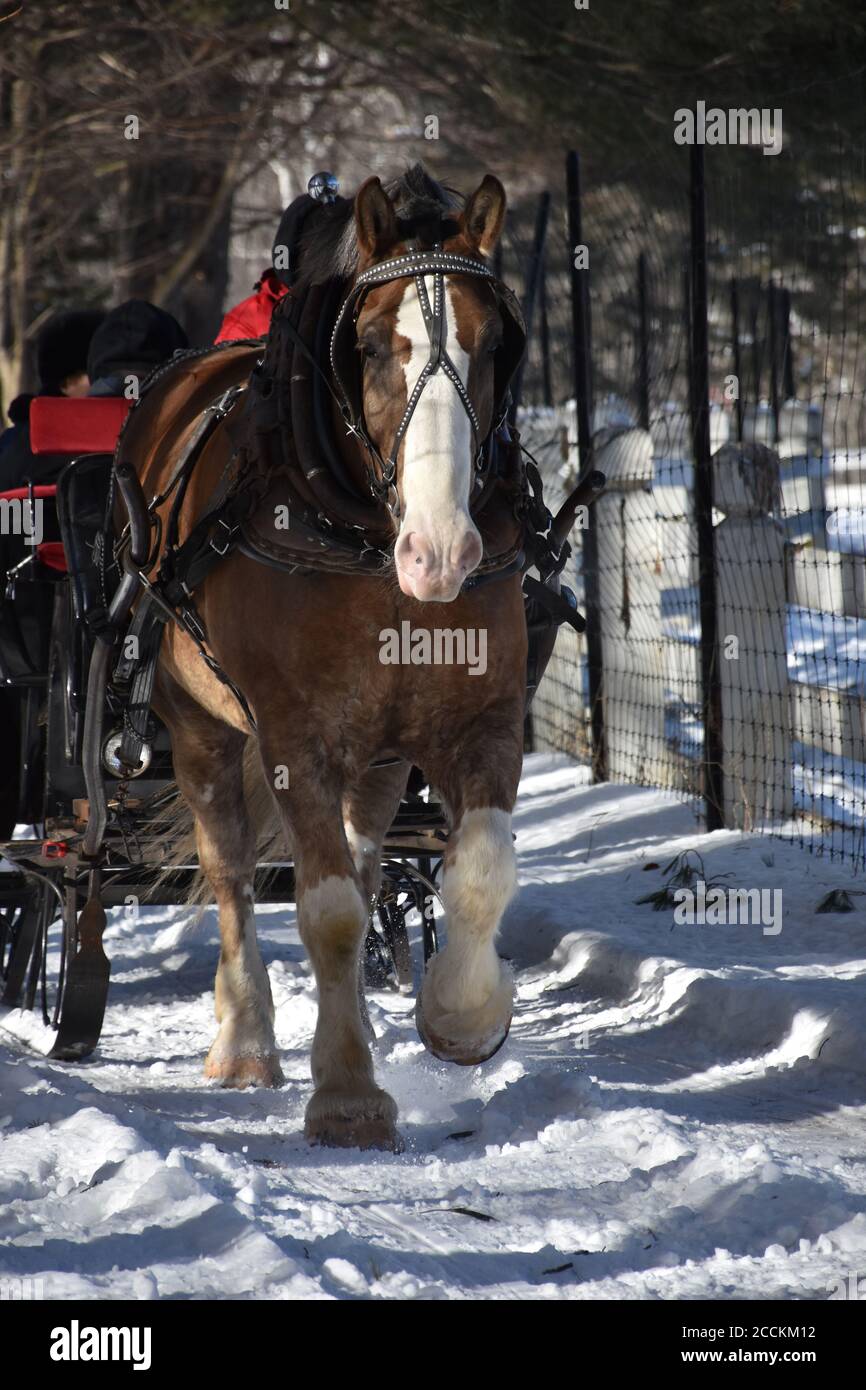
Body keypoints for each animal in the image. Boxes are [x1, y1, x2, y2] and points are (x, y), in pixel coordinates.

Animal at [120, 166, 531, 1150]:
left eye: (494, 341)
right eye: (376, 345)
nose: (441, 553)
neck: (365, 536)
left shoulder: (482, 721)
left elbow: (479, 870)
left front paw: (461, 1017)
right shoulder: (294, 740)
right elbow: (330, 912)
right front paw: (346, 1095)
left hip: (376, 759)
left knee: (365, 858)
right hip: (202, 732)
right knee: (232, 873)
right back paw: (246, 1041)